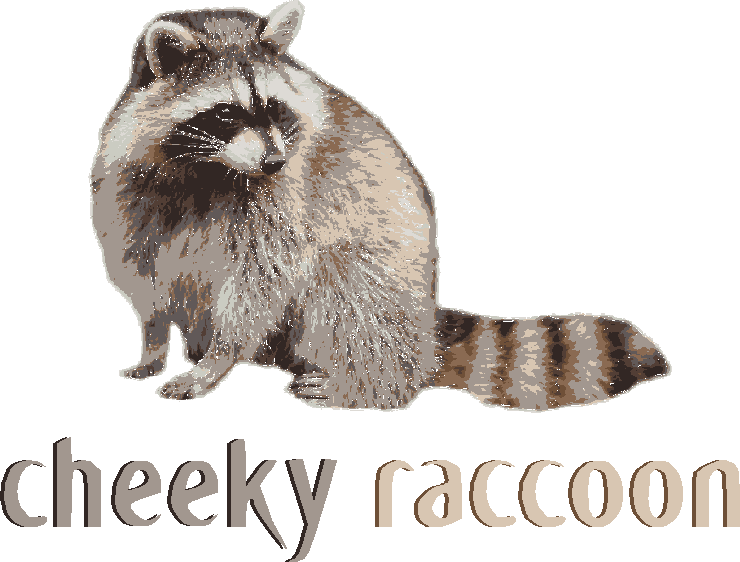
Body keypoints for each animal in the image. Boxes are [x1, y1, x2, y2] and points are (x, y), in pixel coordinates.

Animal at [90, 2, 670, 410]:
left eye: (274, 107)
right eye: (227, 113)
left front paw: (218, 359)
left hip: (388, 287)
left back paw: (362, 385)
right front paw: (151, 344)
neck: (207, 168)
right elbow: (142, 271)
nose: (275, 160)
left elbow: (262, 281)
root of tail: (427, 329)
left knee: (346, 283)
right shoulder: (129, 188)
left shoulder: (281, 203)